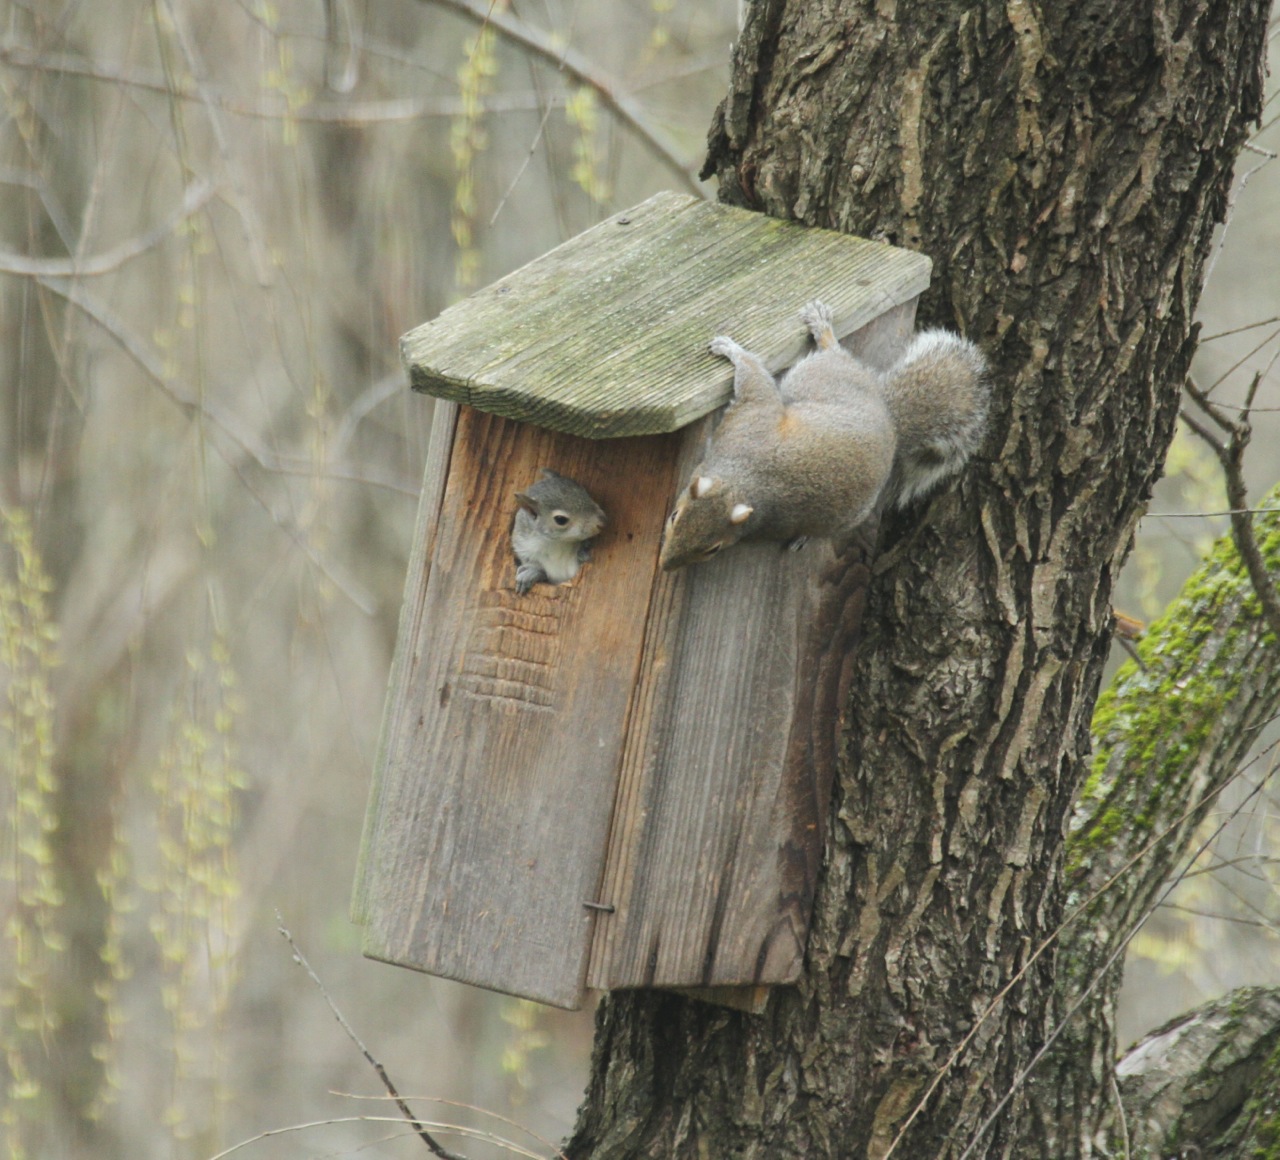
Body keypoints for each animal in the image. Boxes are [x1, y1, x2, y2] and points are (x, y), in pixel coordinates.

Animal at [659, 300, 989, 571]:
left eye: (712, 549)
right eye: (673, 517)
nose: (664, 566)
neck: (742, 483)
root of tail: (891, 421)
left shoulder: (750, 421)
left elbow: (755, 380)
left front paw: (731, 349)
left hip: (819, 376)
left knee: (834, 354)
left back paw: (822, 328)